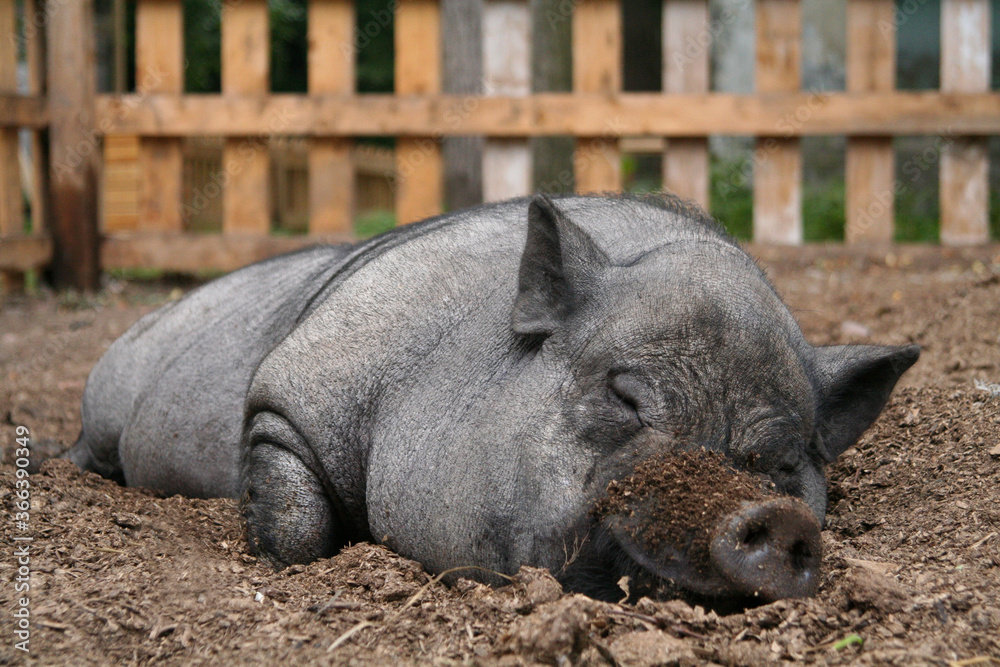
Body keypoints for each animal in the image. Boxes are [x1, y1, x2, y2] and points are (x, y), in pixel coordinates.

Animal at [66, 194, 918, 606]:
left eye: (783, 458)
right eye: (624, 394)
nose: (771, 512)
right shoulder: (288, 393)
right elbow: (296, 516)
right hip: (109, 394)